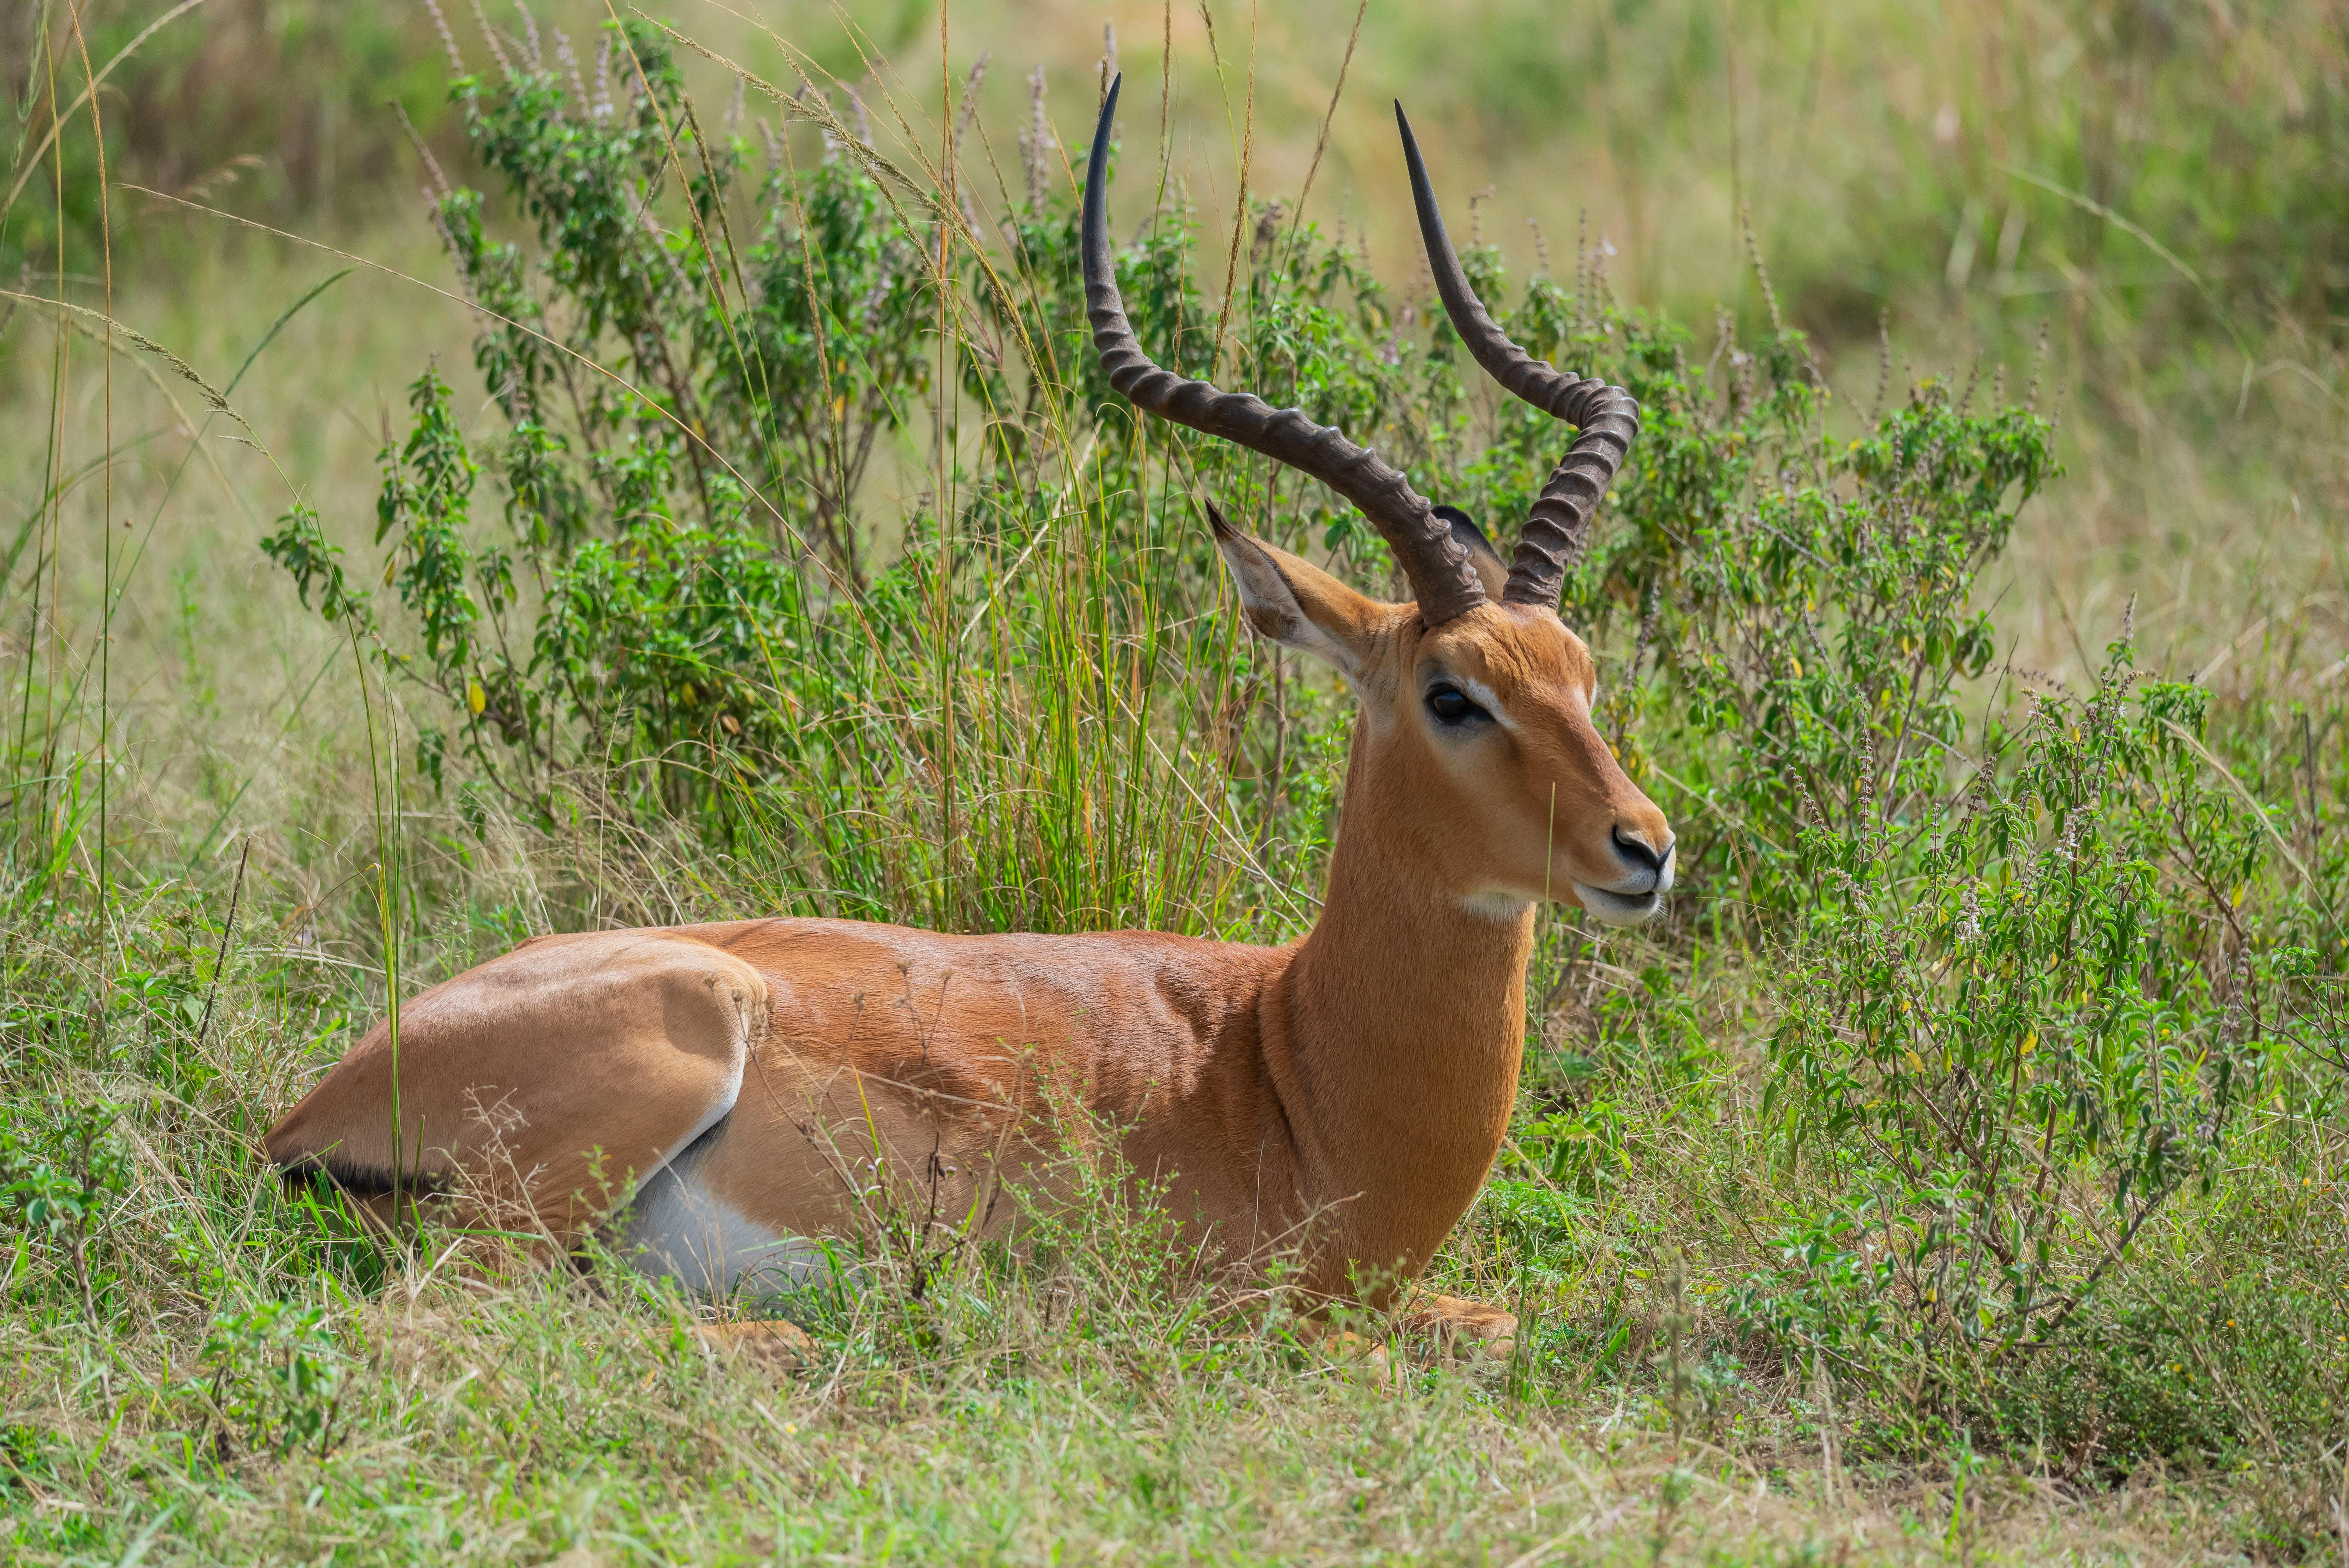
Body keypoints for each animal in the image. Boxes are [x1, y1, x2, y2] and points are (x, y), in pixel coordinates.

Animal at [263, 79, 1672, 1357]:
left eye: (1582, 669)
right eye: (1452, 695)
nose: (1644, 848)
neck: (1283, 1070)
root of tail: (305, 1115)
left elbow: (1495, 1322)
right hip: (646, 1078)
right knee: (460, 1309)